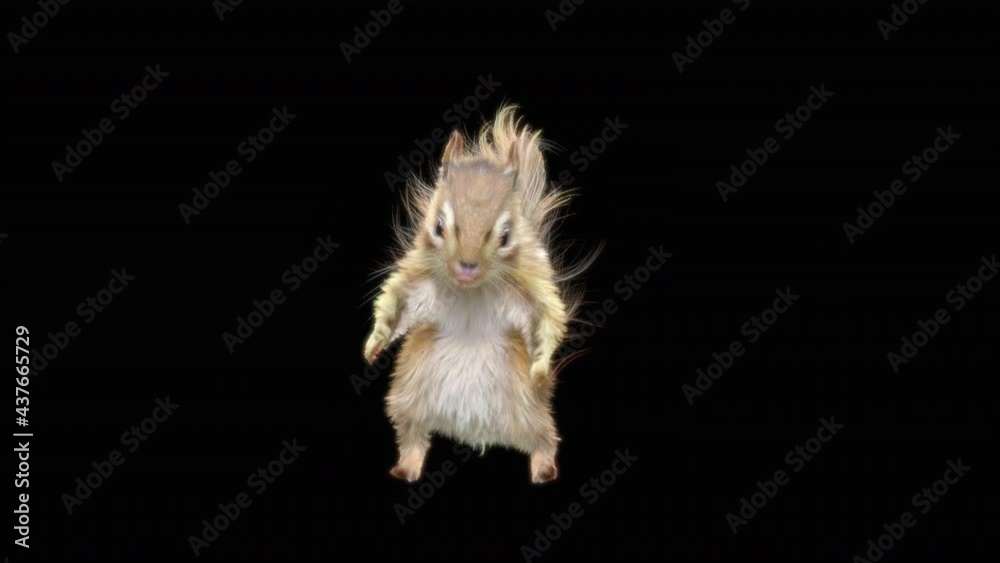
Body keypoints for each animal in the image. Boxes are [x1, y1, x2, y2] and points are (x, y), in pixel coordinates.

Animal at [364, 105, 595, 484]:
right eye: (439, 226)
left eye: (506, 235)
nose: (467, 268)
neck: (471, 291)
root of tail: (473, 432)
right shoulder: (415, 277)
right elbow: (396, 303)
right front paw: (374, 344)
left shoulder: (534, 287)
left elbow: (547, 318)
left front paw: (540, 366)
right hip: (408, 395)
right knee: (412, 434)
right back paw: (407, 465)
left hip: (530, 409)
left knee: (544, 439)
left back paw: (543, 469)